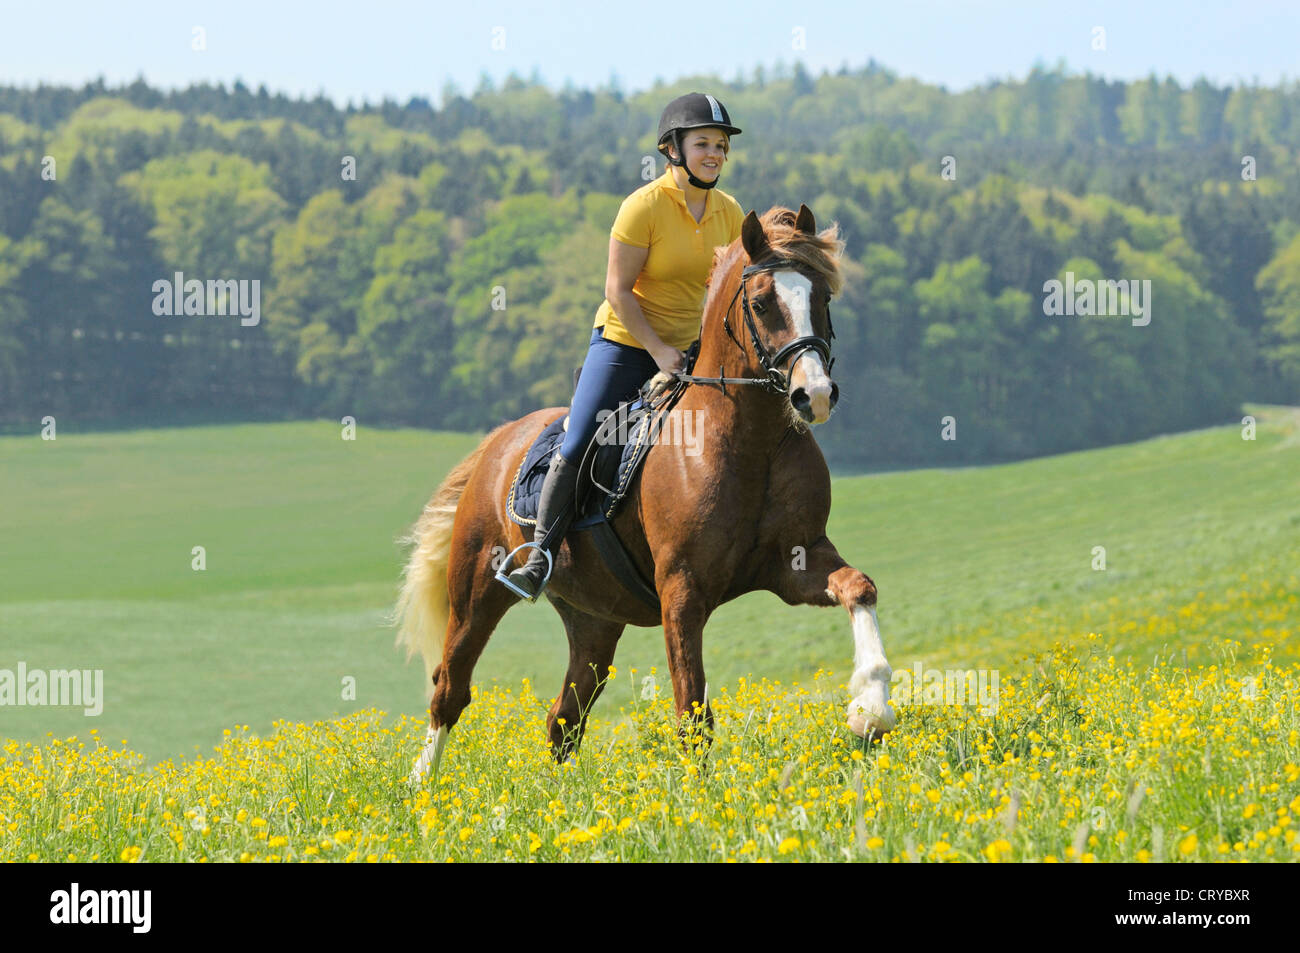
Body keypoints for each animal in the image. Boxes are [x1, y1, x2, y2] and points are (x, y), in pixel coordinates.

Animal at [395, 204, 897, 783]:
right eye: (761, 303)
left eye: (822, 298)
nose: (812, 395)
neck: (750, 441)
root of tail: (497, 442)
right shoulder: (682, 589)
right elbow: (692, 712)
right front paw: (699, 797)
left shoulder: (796, 562)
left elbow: (859, 587)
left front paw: (870, 710)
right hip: (478, 591)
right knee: (450, 690)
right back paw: (422, 788)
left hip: (595, 619)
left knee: (564, 720)